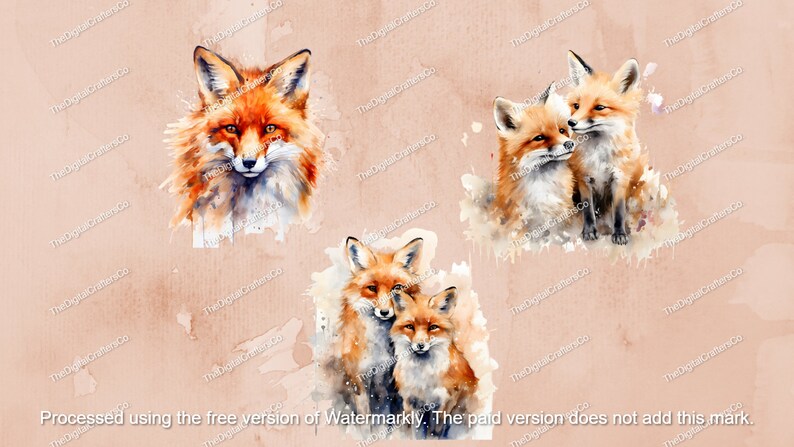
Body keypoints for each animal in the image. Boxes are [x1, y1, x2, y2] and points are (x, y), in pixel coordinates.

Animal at [334, 236, 424, 417]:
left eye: (397, 288)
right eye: (372, 288)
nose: (384, 312)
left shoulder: (390, 380)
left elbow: (389, 411)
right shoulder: (359, 379)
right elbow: (365, 414)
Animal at [390, 287, 478, 439]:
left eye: (433, 327)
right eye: (410, 326)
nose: (420, 345)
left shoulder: (444, 403)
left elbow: (435, 431)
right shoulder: (414, 403)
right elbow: (417, 433)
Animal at [565, 50, 645, 245]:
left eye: (600, 107)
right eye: (576, 106)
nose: (571, 122)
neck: (599, 156)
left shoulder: (619, 179)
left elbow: (619, 211)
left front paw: (619, 234)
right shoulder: (584, 179)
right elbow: (588, 211)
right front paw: (589, 231)